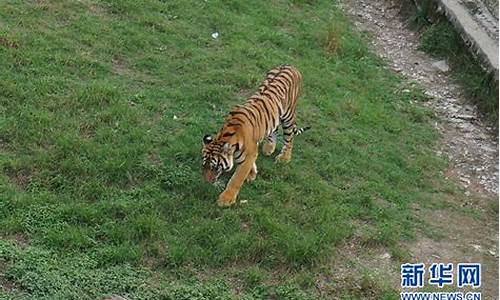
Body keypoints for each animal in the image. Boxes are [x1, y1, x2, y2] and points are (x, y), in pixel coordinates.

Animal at [201, 64, 306, 207]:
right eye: (204, 165)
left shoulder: (248, 154)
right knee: (273, 129)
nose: (206, 182)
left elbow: (237, 178)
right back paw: (269, 148)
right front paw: (252, 174)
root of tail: (290, 65)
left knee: (289, 139)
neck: (226, 136)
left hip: (288, 116)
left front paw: (226, 200)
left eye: (215, 167)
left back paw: (284, 158)